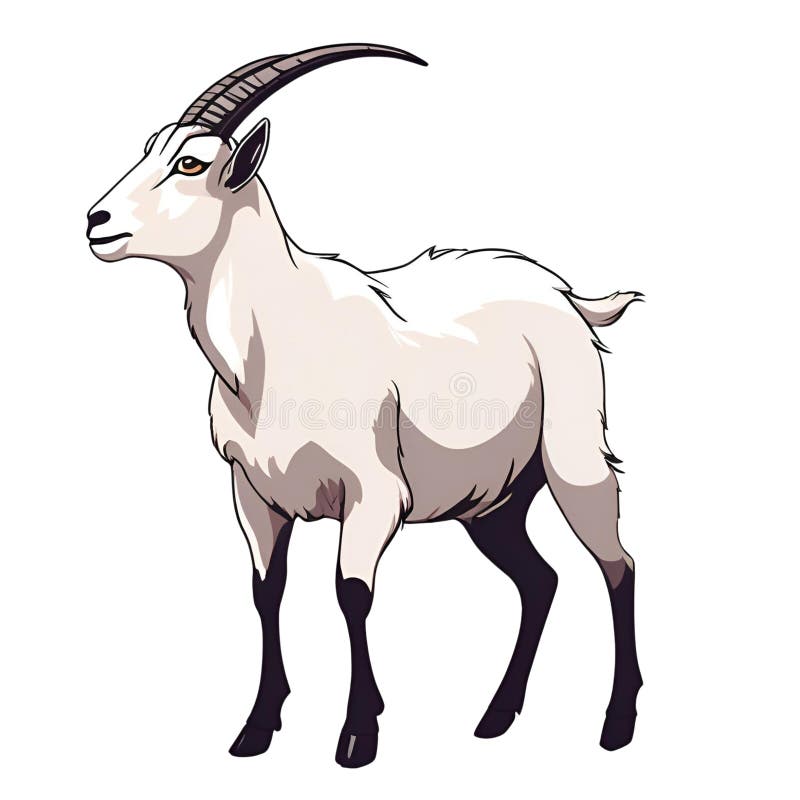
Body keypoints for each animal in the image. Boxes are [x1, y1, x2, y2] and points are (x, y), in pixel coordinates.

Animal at [87, 43, 643, 768]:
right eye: (150, 147)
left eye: (190, 163)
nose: (95, 221)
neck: (275, 345)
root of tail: (570, 297)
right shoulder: (252, 491)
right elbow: (267, 592)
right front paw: (256, 728)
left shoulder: (372, 492)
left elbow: (351, 594)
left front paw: (358, 733)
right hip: (494, 501)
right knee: (539, 579)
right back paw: (495, 717)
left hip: (573, 458)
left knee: (617, 566)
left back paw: (617, 723)